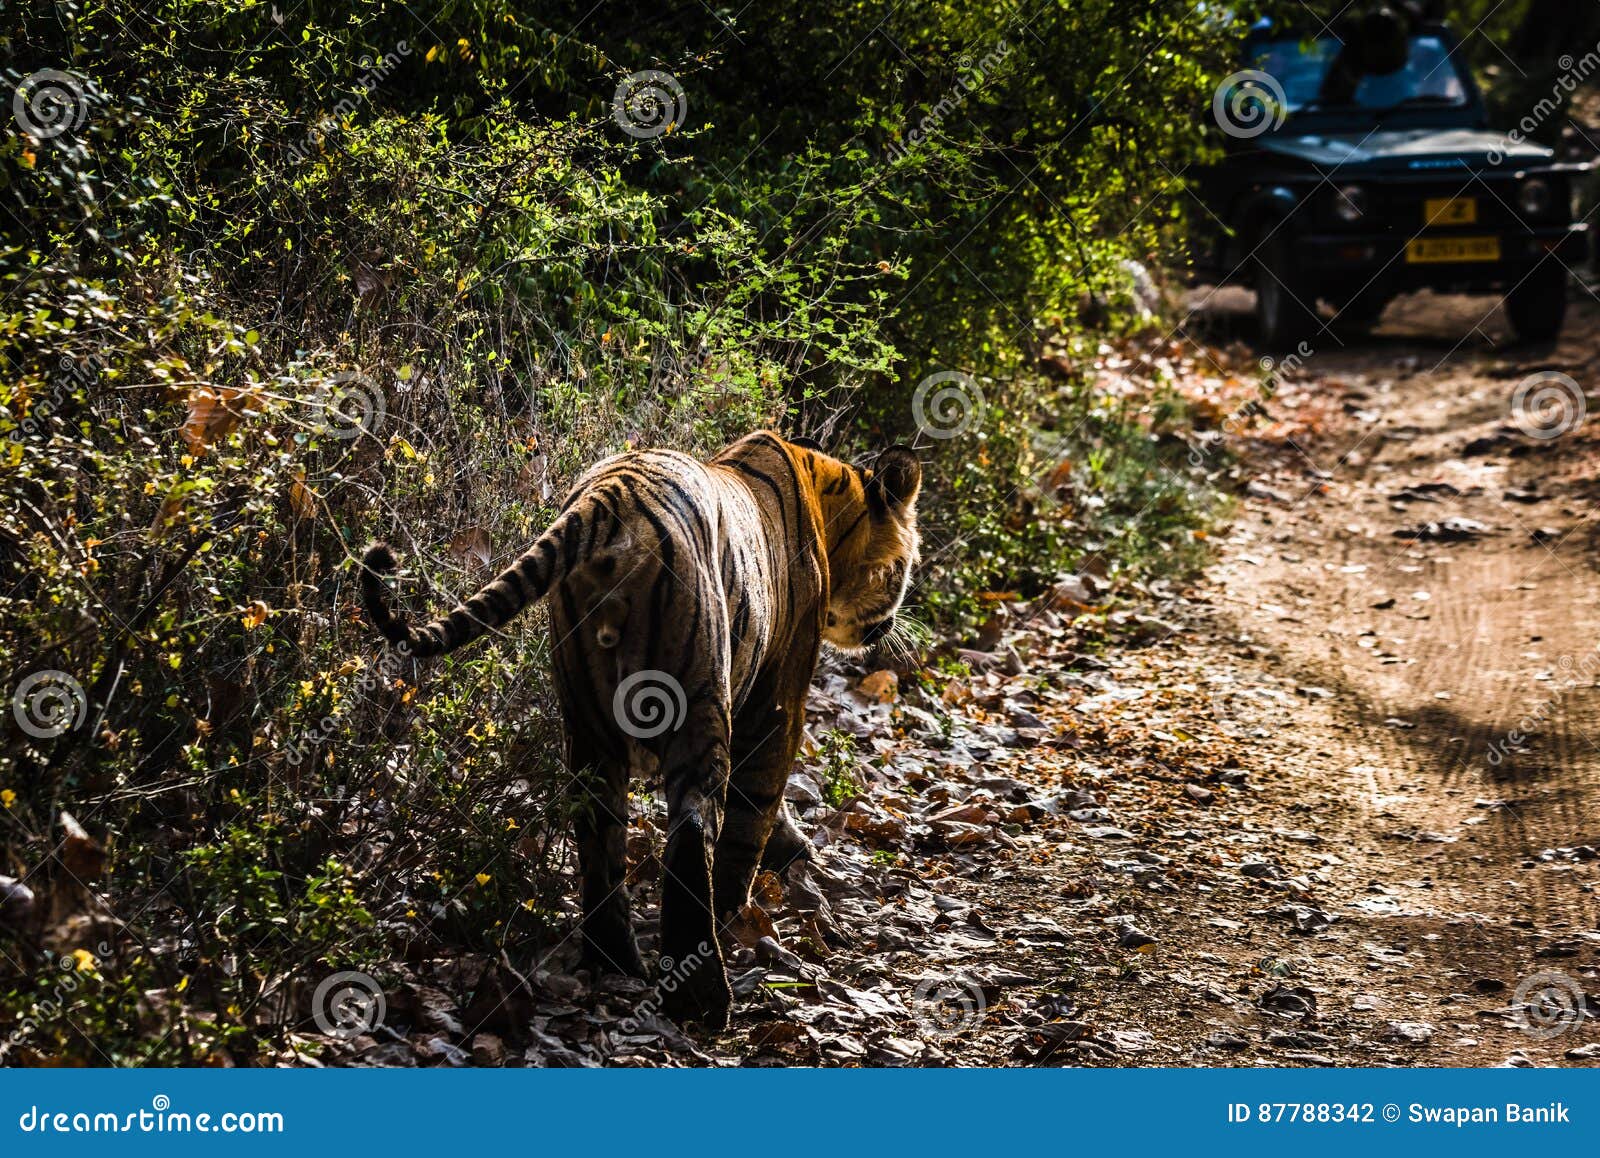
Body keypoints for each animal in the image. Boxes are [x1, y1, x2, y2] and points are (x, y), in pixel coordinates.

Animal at [361, 431, 922, 1028]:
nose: (891, 624)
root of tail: (607, 499)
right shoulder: (780, 696)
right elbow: (757, 806)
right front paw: (748, 901)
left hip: (586, 722)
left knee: (598, 835)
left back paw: (615, 959)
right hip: (701, 700)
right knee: (693, 832)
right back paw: (701, 994)